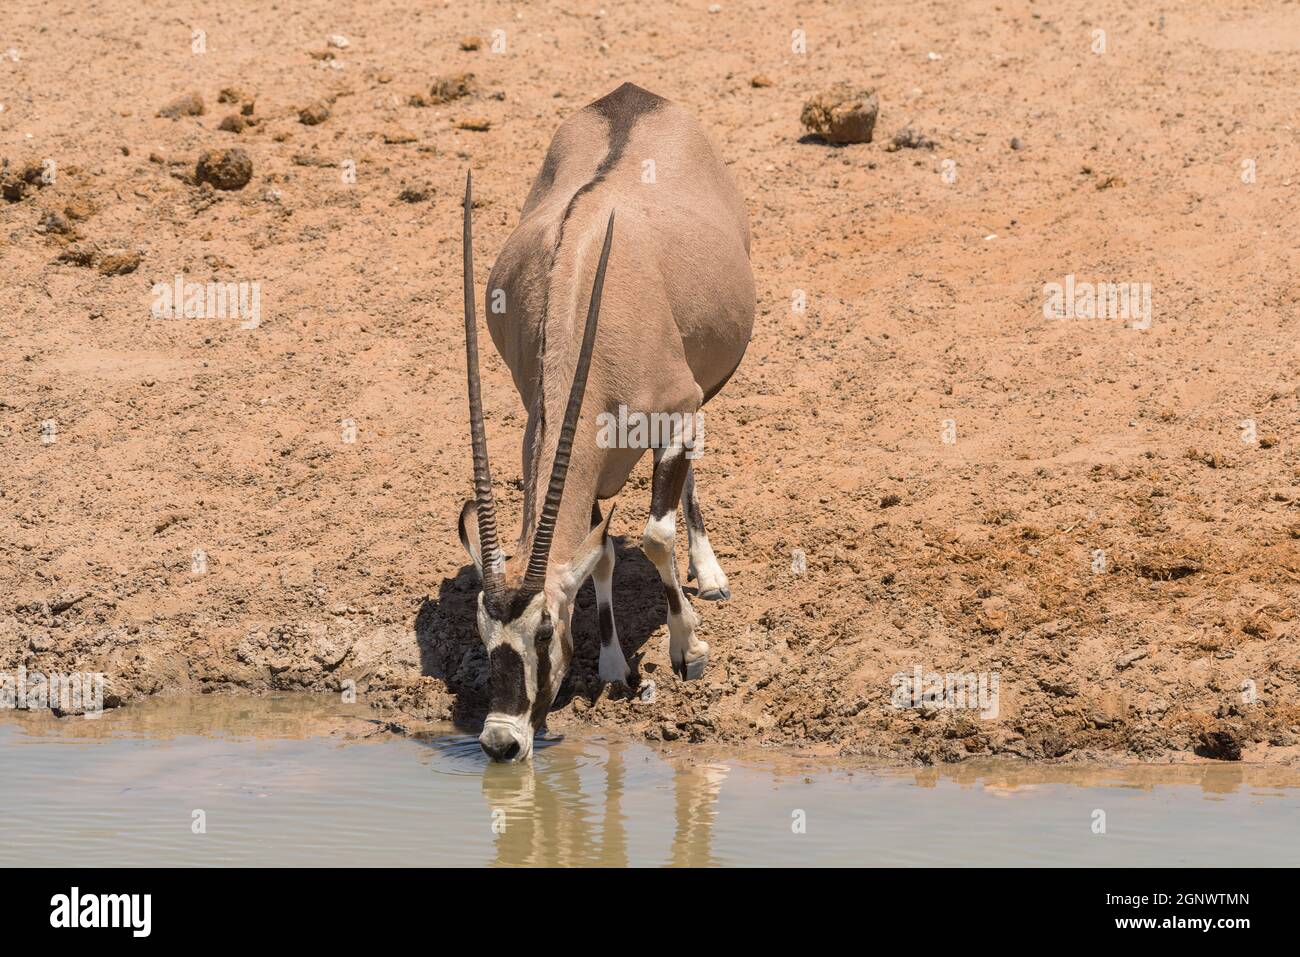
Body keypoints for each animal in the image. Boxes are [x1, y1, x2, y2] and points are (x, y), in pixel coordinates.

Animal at [458, 82, 754, 761]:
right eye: (484, 633)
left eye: (545, 631)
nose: (501, 742)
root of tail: (631, 95)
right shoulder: (577, 463)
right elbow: (602, 555)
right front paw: (616, 666)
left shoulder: (676, 416)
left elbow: (655, 536)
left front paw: (689, 650)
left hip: (702, 391)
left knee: (682, 494)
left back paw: (710, 575)